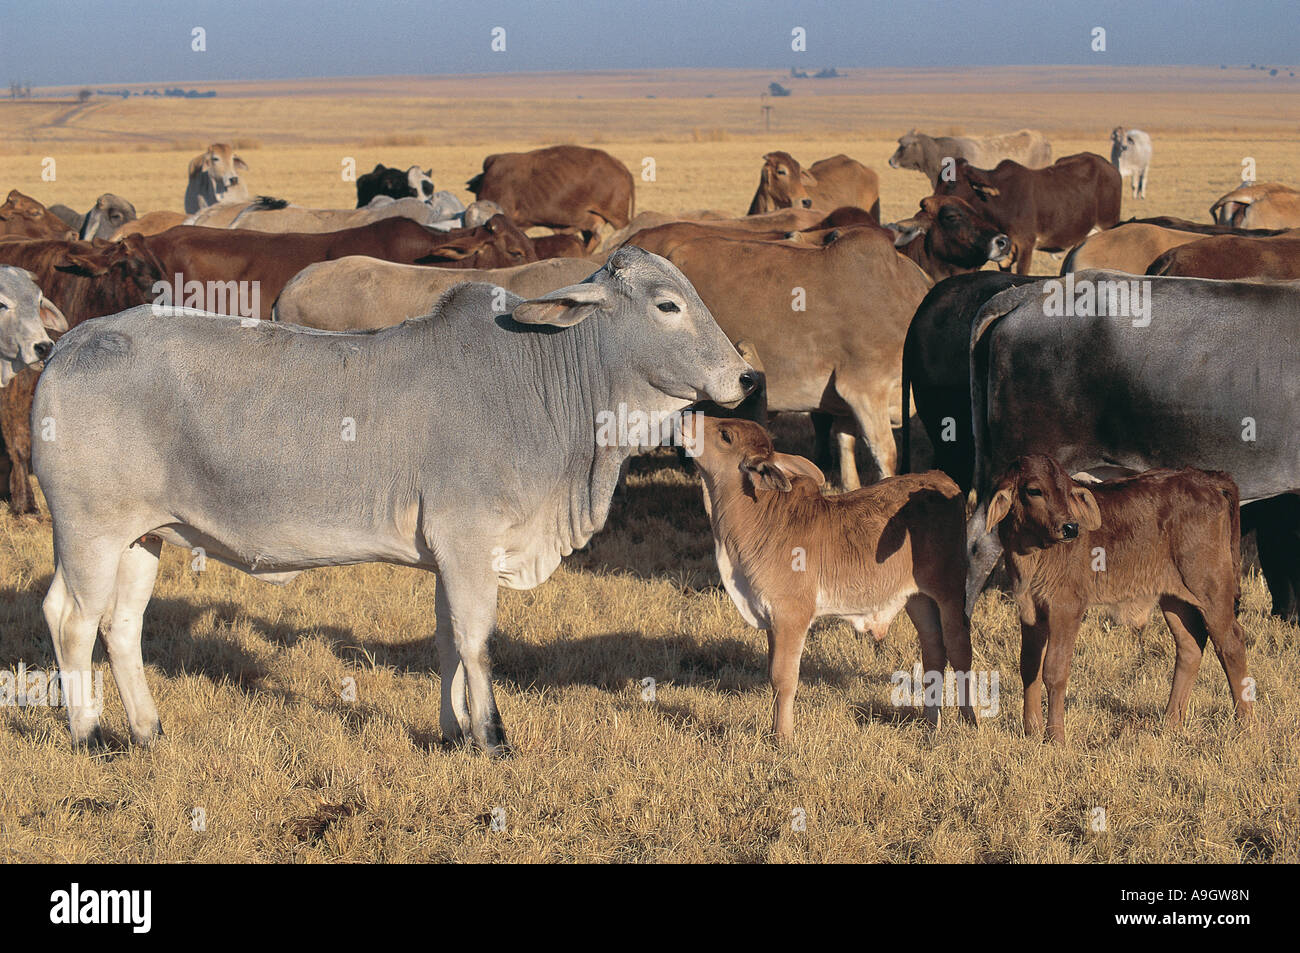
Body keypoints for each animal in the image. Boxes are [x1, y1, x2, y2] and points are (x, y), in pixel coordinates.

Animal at [33, 245, 756, 753]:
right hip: (89, 533)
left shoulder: (450, 554)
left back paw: (149, 729)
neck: (541, 379)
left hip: (143, 537)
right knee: (72, 619)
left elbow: (446, 641)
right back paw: (89, 734)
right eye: (668, 305)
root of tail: (69, 344)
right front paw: (493, 736)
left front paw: (453, 730)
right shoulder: (468, 541)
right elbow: (476, 640)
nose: (747, 377)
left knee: (122, 626)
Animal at [684, 415, 976, 738]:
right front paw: (775, 732)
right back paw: (931, 724)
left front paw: (783, 737)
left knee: (959, 647)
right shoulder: (771, 617)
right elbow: (773, 675)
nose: (687, 417)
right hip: (918, 599)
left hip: (949, 591)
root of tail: (940, 478)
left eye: (725, 435)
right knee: (934, 652)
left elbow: (783, 678)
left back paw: (969, 722)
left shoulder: (791, 615)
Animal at [985, 454, 1252, 743]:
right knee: (1190, 646)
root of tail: (1206, 477)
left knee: (1231, 643)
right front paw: (1031, 730)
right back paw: (1170, 724)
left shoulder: (1067, 607)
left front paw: (1055, 737)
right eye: (1034, 490)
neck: (1032, 555)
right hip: (1175, 597)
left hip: (1212, 588)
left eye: (1067, 492)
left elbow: (1054, 671)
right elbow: (1029, 667)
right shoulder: (1029, 609)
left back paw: (1245, 724)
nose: (1070, 527)